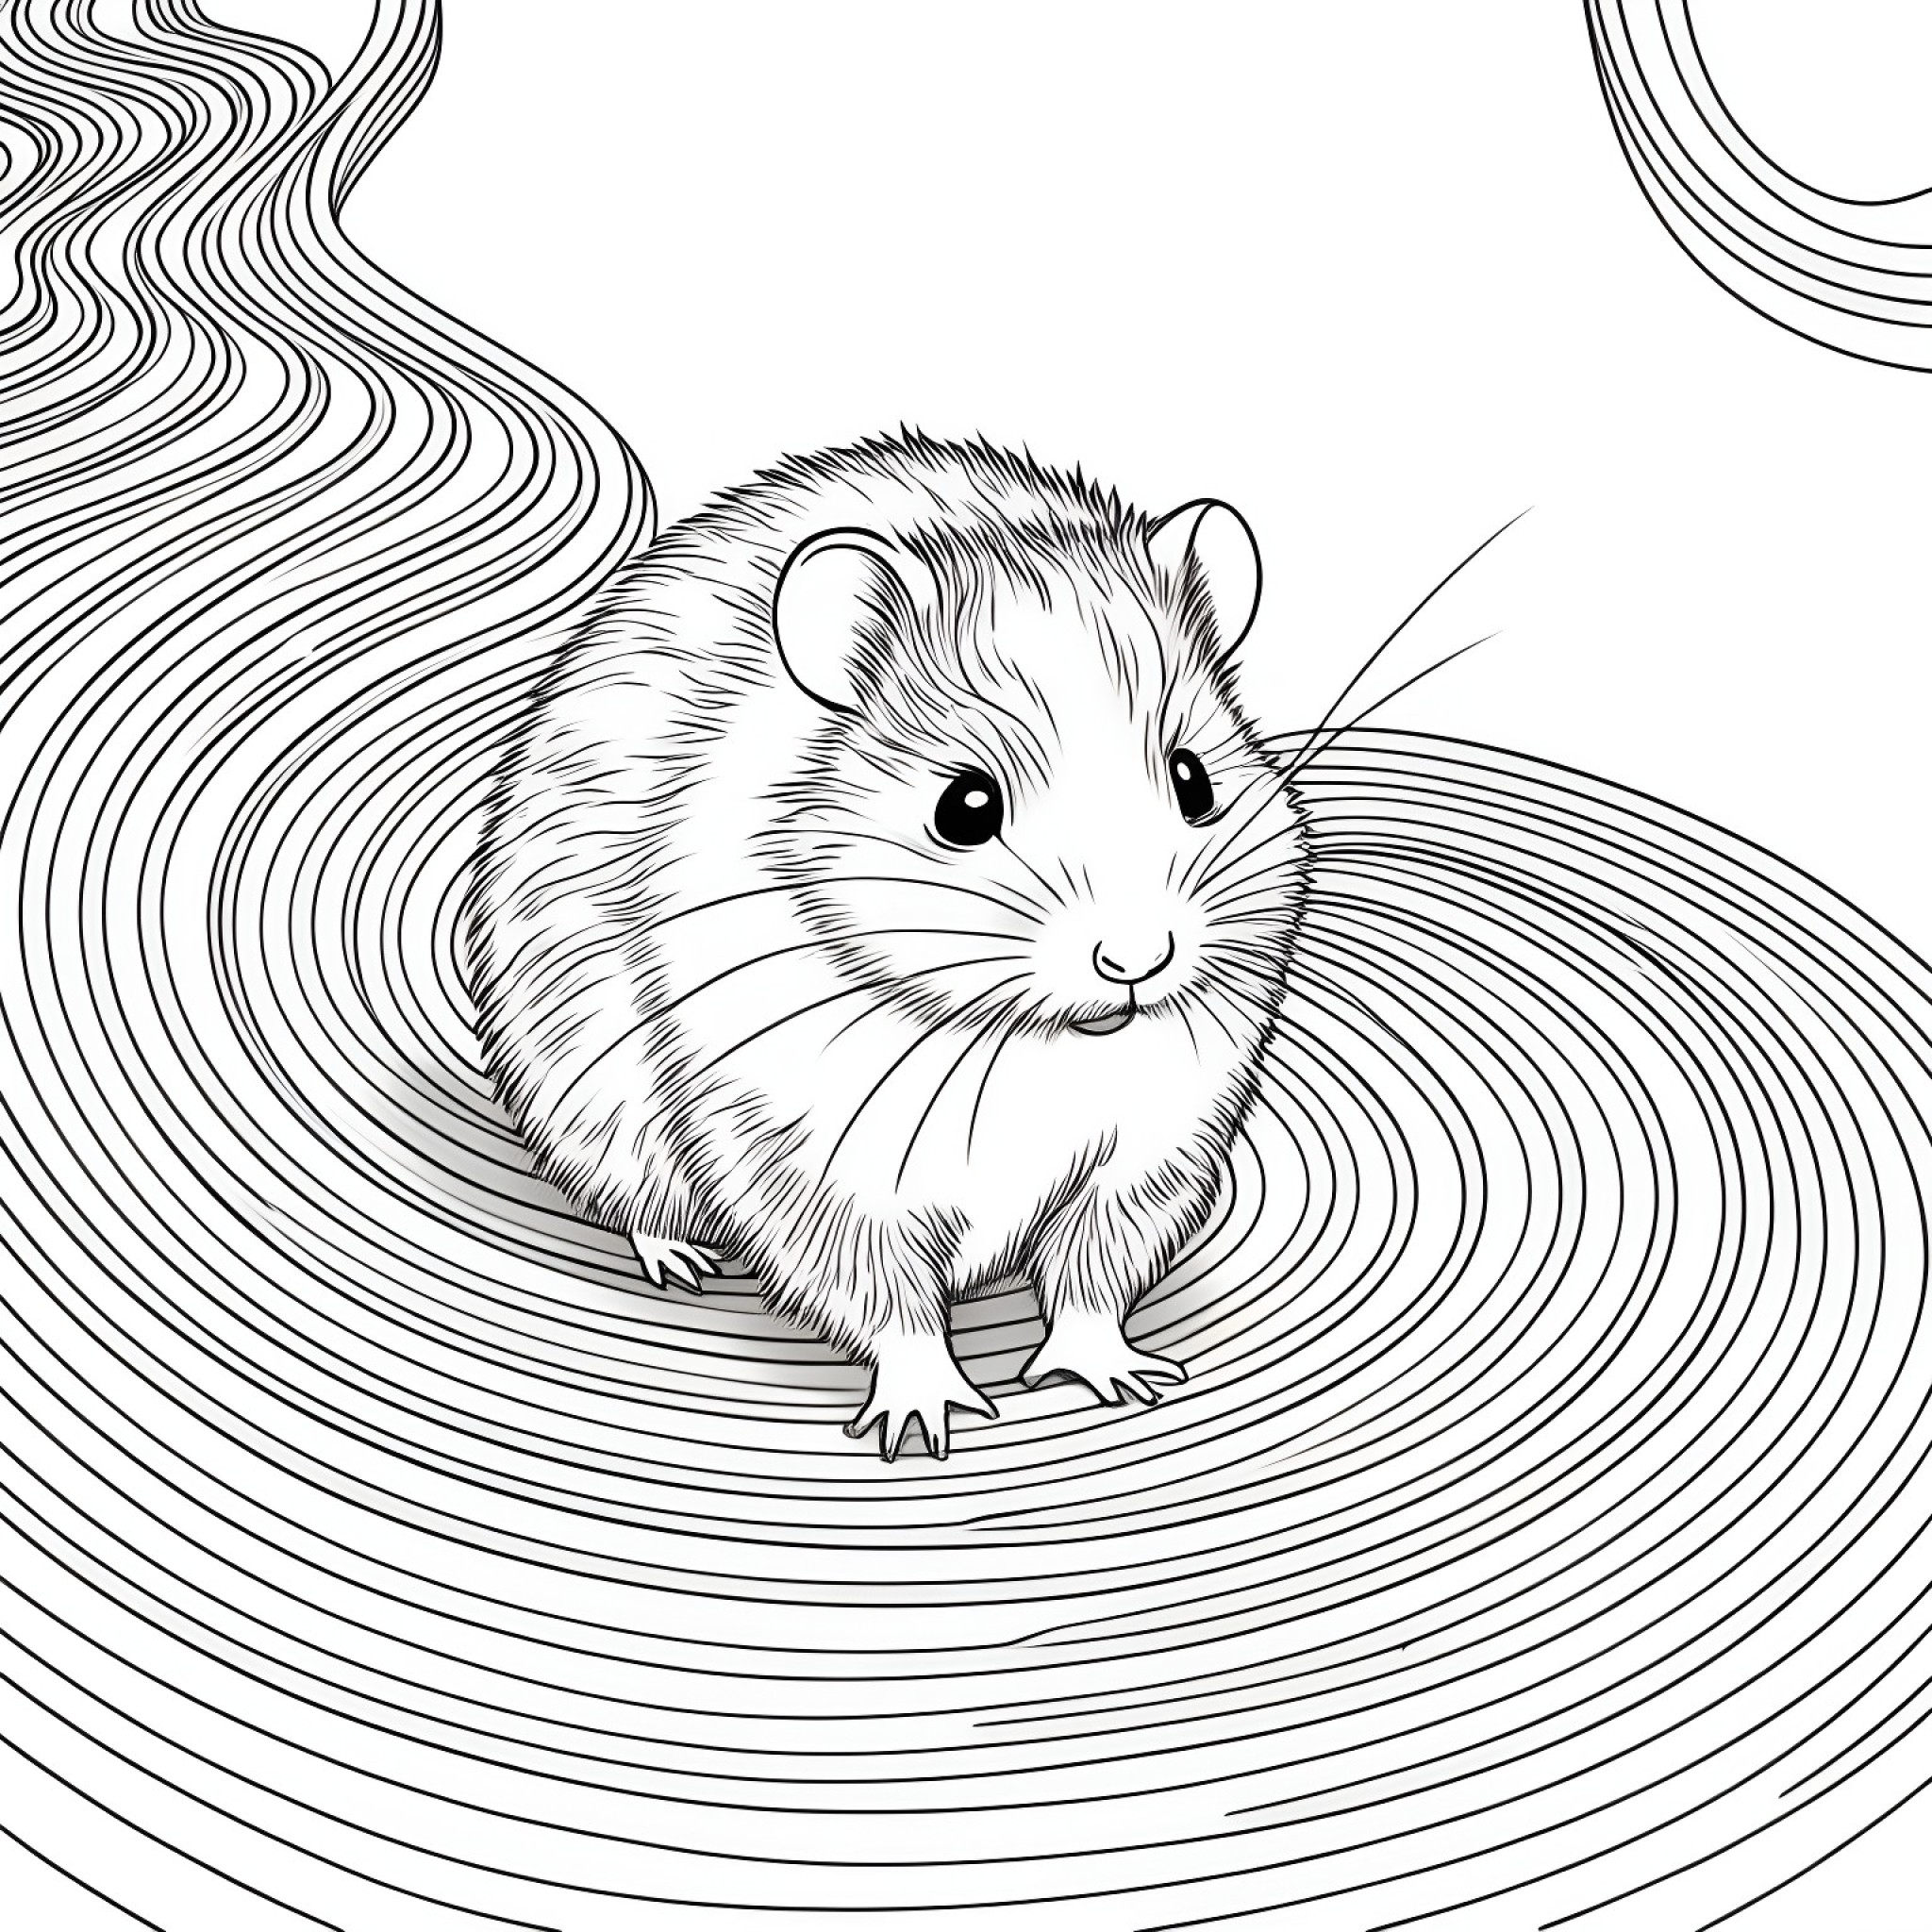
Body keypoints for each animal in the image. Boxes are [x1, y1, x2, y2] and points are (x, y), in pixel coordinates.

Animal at [468, 431, 1310, 1458]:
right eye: (964, 806)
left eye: (1195, 782)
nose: (1137, 962)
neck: (1025, 1041)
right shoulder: (817, 1162)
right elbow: (891, 1300)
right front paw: (926, 1418)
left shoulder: (1153, 1146)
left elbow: (1090, 1277)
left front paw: (1115, 1378)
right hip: (591, 1104)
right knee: (637, 1202)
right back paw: (679, 1256)